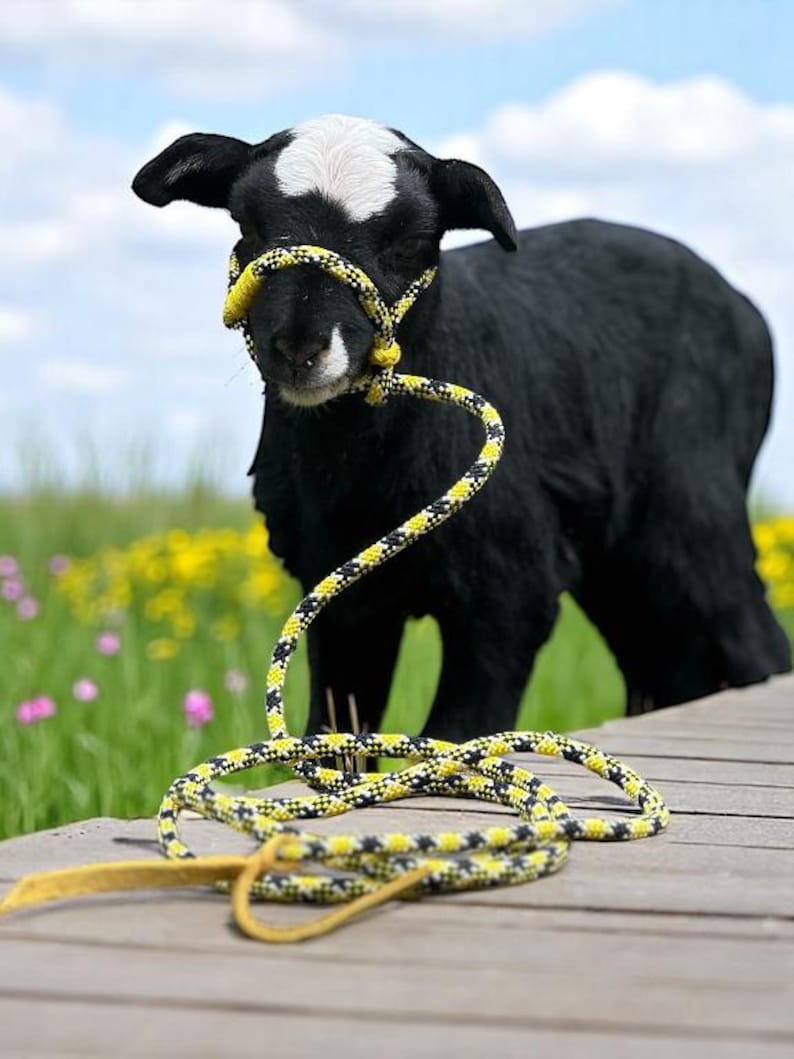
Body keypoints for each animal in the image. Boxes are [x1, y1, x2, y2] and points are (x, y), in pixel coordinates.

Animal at [132, 113, 791, 741]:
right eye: (248, 225)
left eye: (411, 242)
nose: (298, 346)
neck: (361, 472)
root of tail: (743, 308)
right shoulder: (335, 583)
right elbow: (334, 729)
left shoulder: (509, 586)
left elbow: (458, 730)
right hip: (620, 552)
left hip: (693, 507)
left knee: (754, 643)